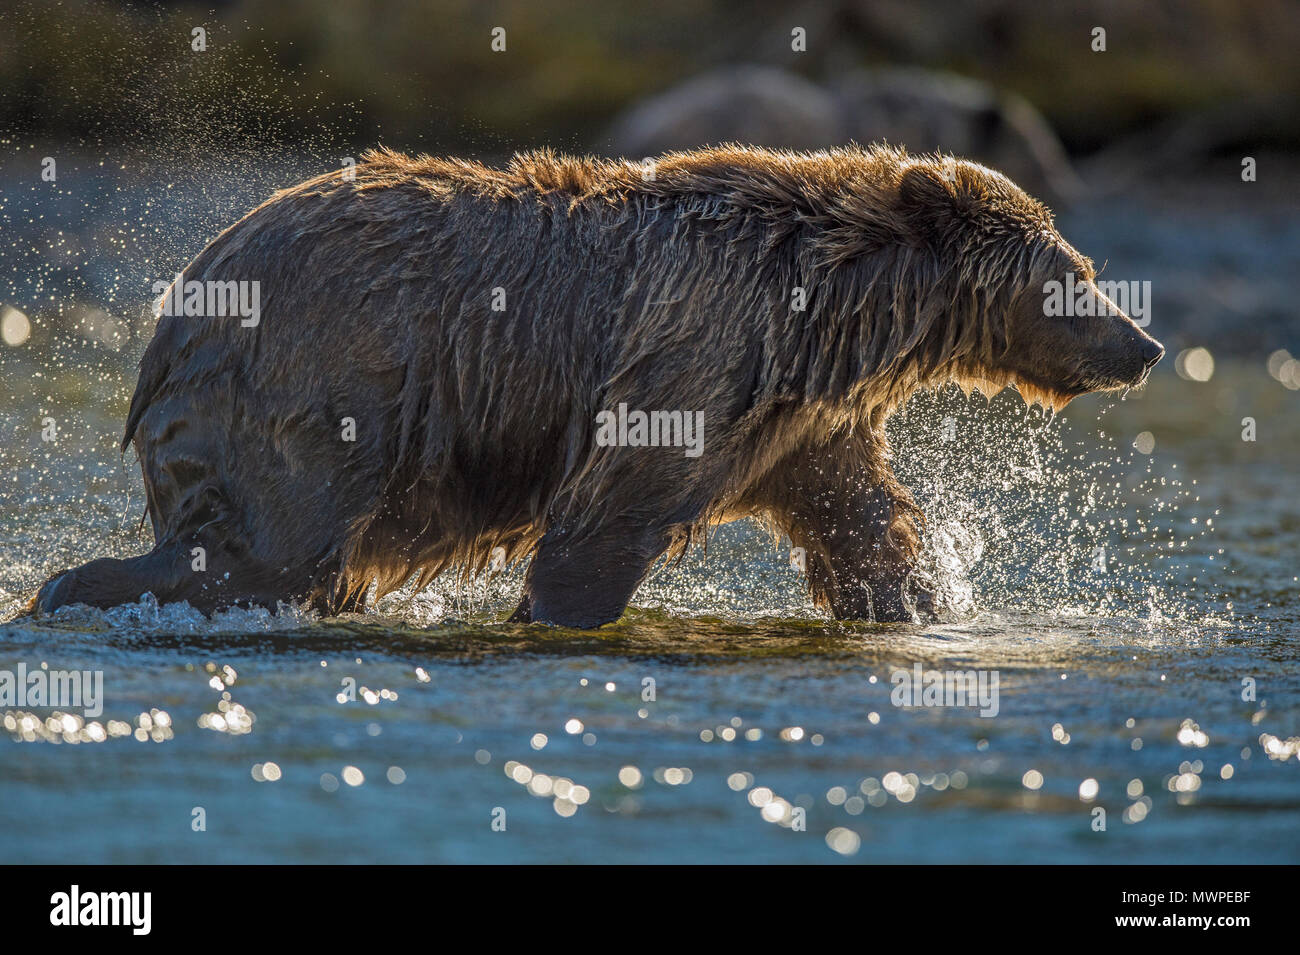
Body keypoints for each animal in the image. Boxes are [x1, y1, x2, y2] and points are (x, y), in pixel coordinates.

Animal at [32, 144, 1162, 627]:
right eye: (1072, 275)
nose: (1145, 344)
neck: (827, 319)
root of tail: (174, 306)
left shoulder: (795, 422)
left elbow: (861, 515)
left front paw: (920, 602)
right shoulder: (694, 356)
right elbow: (609, 515)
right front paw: (558, 613)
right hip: (317, 386)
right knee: (271, 548)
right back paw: (70, 586)